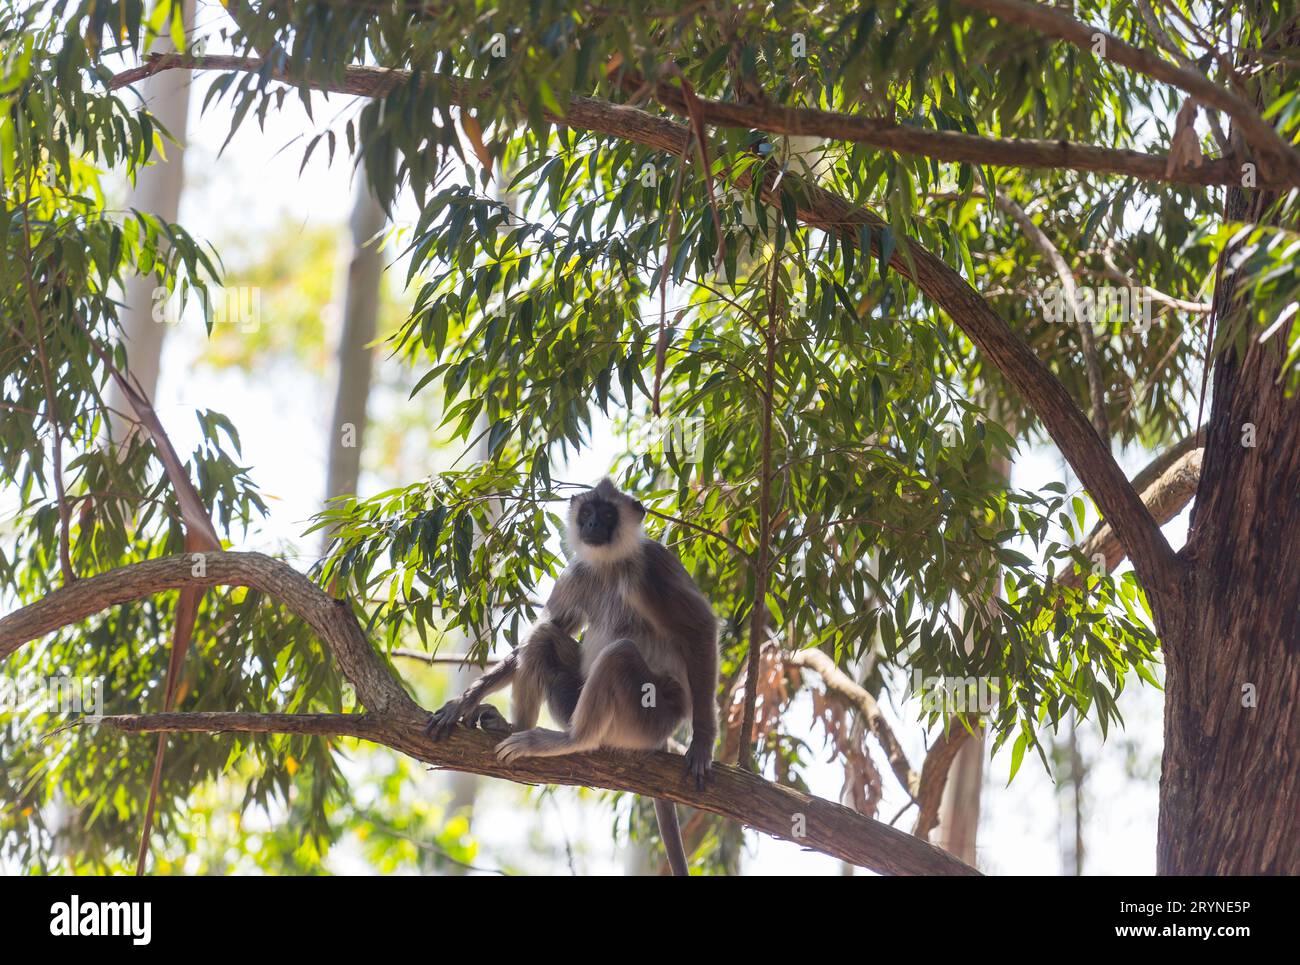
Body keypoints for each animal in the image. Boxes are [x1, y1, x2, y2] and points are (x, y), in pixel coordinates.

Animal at [425, 478, 719, 876]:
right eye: (588, 512)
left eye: (608, 514)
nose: (593, 525)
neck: (611, 565)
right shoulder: (576, 573)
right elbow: (551, 627)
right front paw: (463, 701)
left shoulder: (654, 564)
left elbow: (700, 628)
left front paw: (702, 742)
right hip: (572, 701)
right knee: (543, 636)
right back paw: (514, 728)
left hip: (645, 719)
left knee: (619, 655)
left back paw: (572, 740)